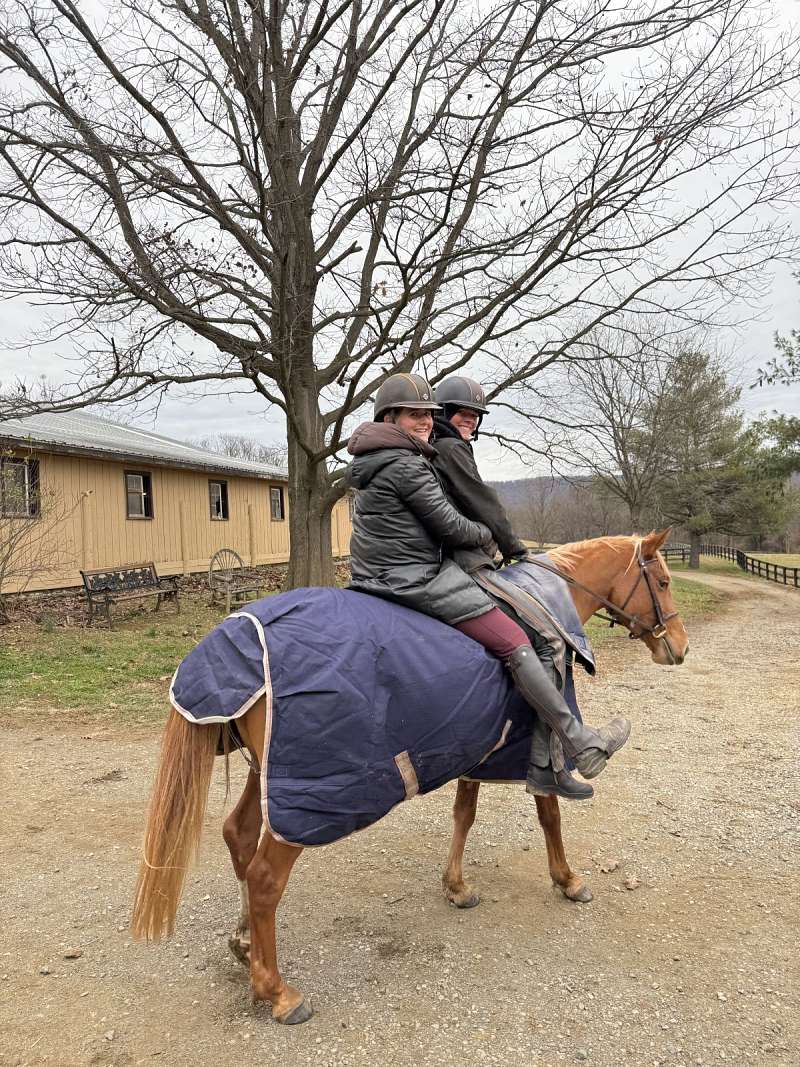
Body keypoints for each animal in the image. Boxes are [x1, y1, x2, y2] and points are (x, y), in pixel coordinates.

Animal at [131, 528, 688, 1026]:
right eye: (662, 581)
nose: (679, 647)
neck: (539, 607)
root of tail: (234, 639)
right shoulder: (535, 736)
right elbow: (549, 810)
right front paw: (567, 880)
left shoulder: (478, 742)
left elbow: (465, 813)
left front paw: (457, 887)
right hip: (304, 796)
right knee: (265, 877)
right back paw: (278, 992)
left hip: (269, 776)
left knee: (239, 838)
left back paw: (246, 946)